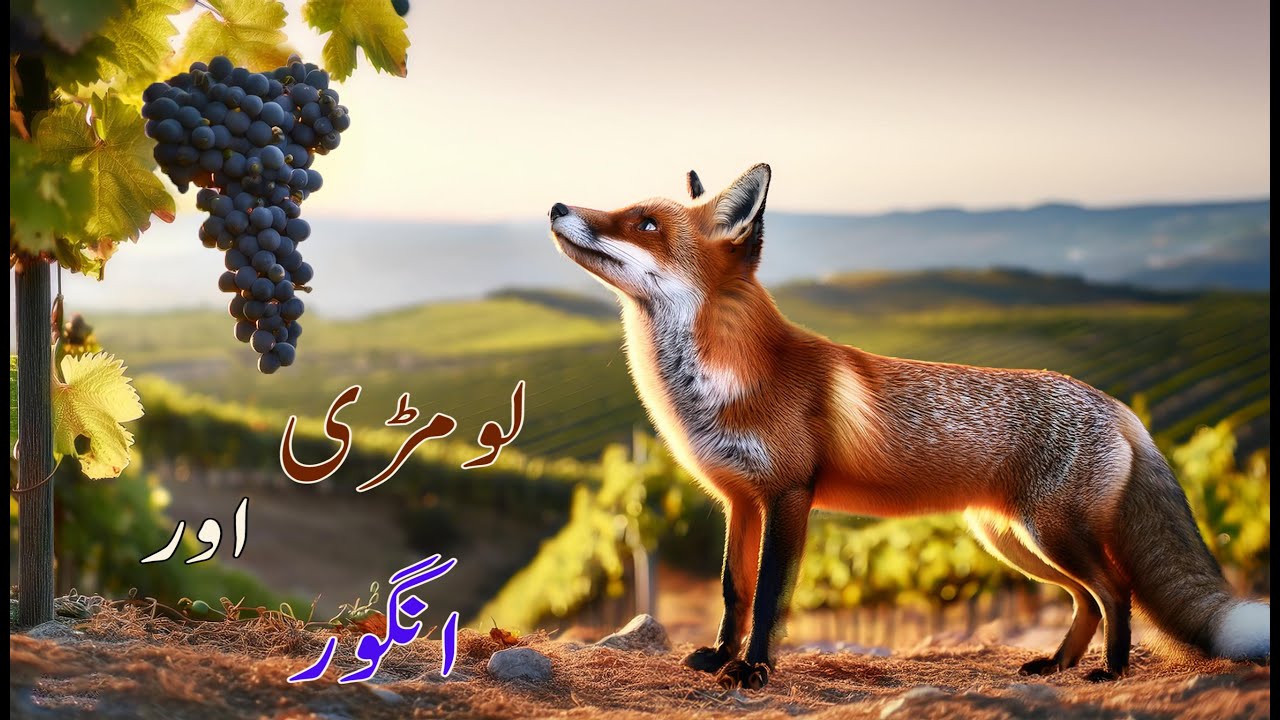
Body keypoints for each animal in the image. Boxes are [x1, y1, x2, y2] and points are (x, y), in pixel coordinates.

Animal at [547, 164, 1270, 690]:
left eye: (644, 222)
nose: (556, 206)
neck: (722, 382)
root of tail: (1117, 406)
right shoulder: (740, 500)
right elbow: (734, 590)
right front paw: (722, 657)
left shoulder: (789, 495)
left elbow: (773, 594)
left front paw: (753, 670)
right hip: (1012, 541)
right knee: (1086, 601)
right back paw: (1056, 665)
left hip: (1052, 534)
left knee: (1116, 591)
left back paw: (1110, 673)